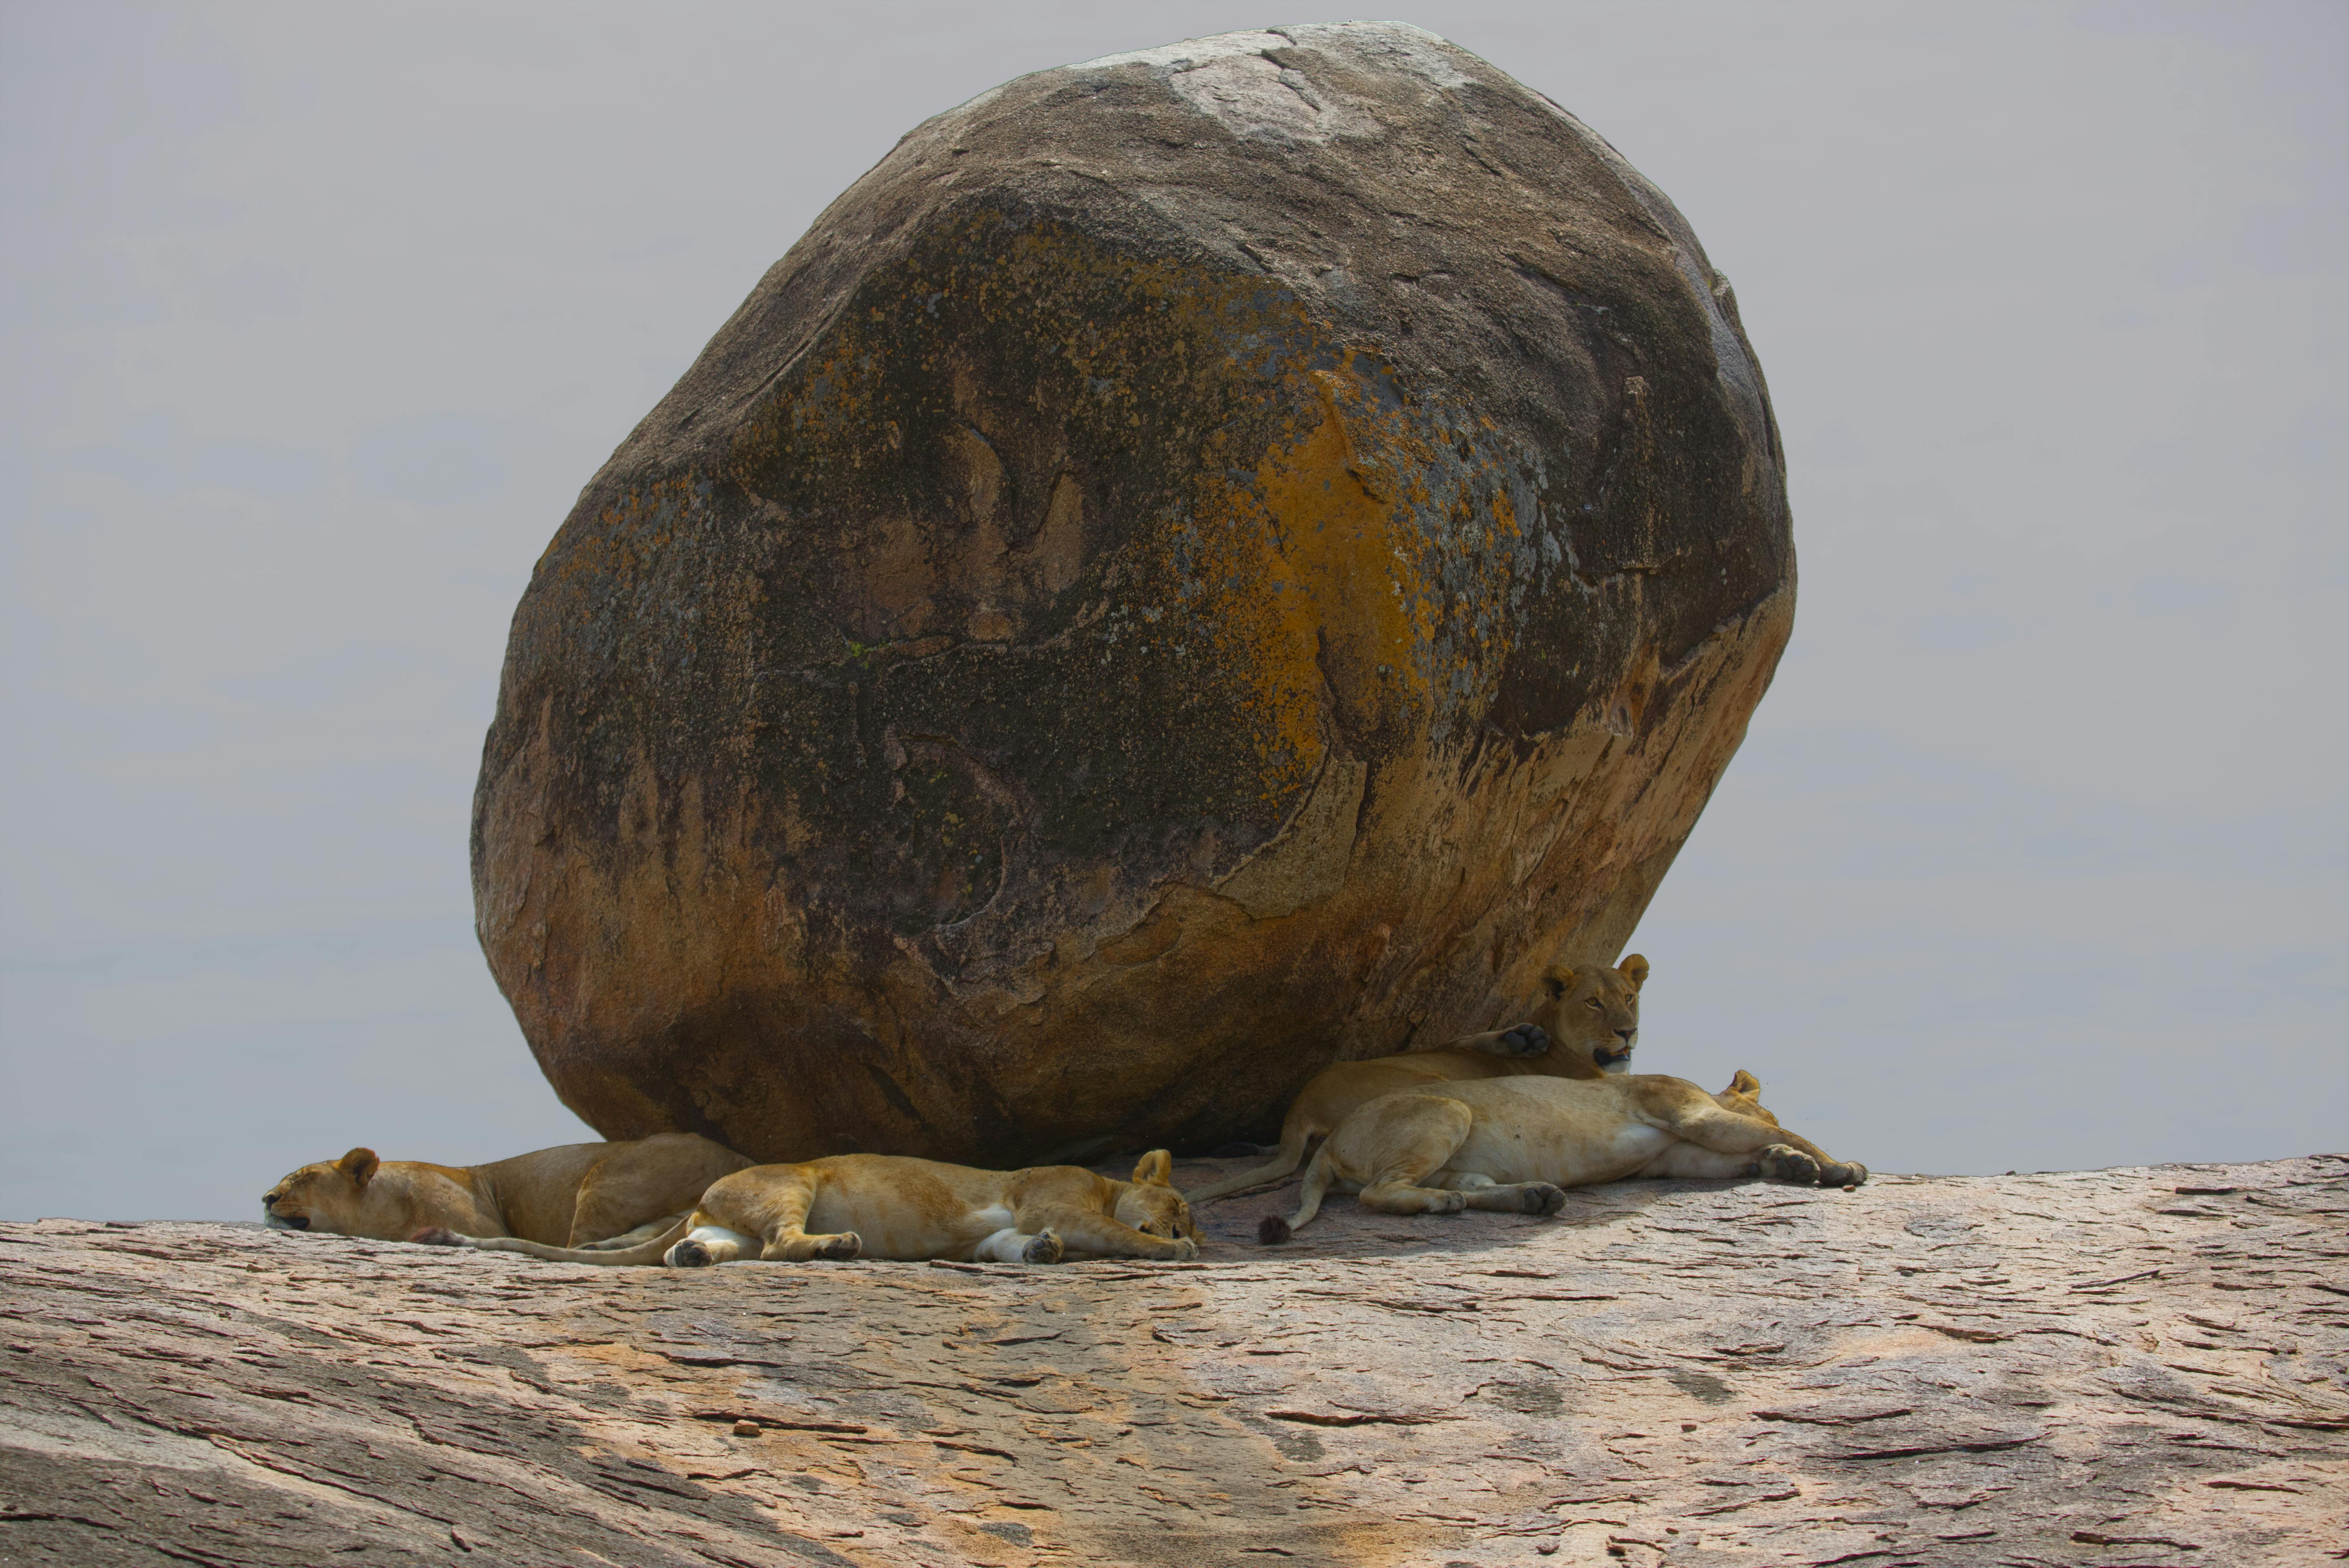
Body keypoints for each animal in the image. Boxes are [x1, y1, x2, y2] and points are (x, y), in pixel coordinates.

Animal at [1261, 1067, 1867, 1241]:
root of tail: (1329, 1141)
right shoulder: (1686, 1113)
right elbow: (1789, 1130)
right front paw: (1836, 1164)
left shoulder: (1680, 1154)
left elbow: (1744, 1154)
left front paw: (1788, 1163)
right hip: (1447, 1110)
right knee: (1374, 1192)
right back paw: (1442, 1205)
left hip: (1459, 1159)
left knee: (1471, 1189)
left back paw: (1533, 1198)